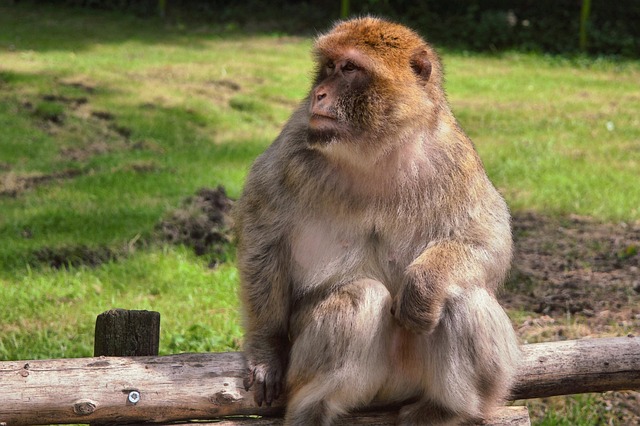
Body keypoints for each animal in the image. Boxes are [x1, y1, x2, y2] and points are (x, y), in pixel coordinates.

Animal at [234, 17, 520, 426]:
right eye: (328, 67)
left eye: (350, 69)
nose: (319, 94)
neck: (376, 150)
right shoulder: (291, 151)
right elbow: (264, 242)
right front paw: (266, 350)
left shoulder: (455, 156)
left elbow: (487, 239)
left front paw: (424, 284)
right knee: (362, 296)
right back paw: (312, 410)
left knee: (461, 295)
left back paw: (446, 409)